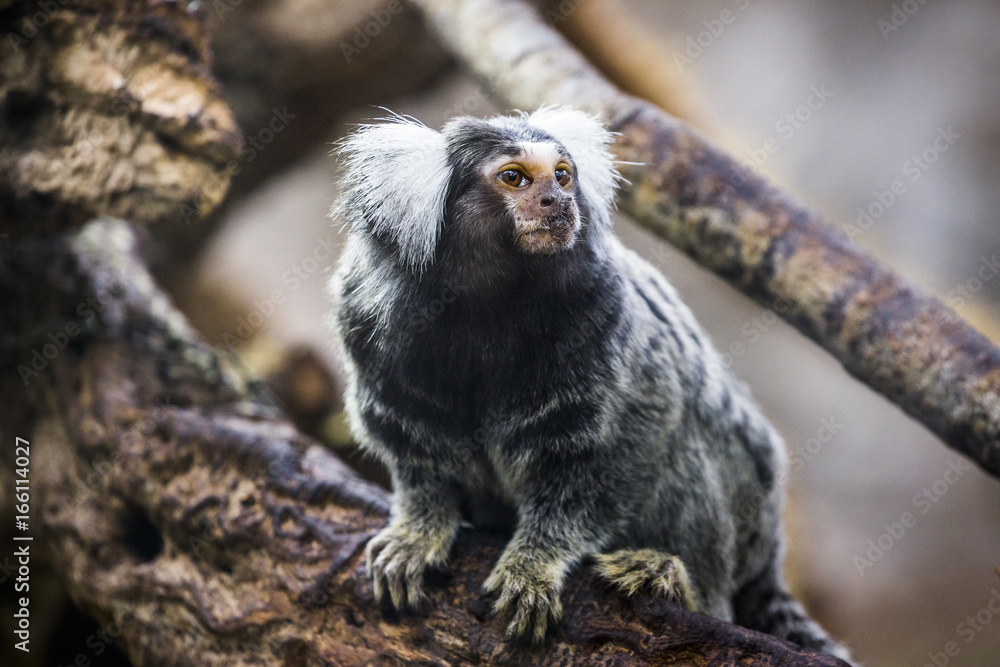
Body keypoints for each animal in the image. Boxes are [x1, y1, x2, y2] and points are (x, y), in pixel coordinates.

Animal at [328, 107, 852, 662]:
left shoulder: (603, 308)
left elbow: (623, 442)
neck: (487, 306)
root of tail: (767, 553)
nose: (556, 202)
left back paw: (670, 577)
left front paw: (535, 564)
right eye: (513, 177)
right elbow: (411, 445)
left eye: (562, 175)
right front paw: (417, 531)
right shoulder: (366, 315)